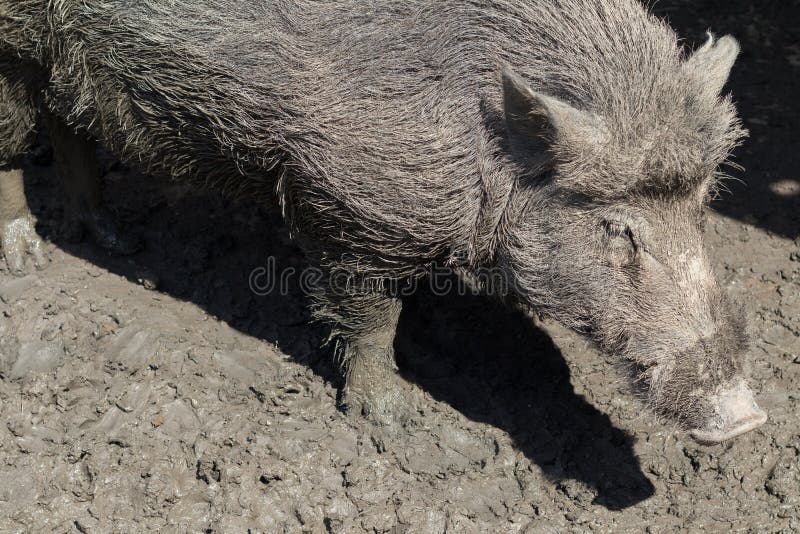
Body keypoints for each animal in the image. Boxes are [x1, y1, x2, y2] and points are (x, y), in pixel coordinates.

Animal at [0, 0, 766, 444]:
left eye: (701, 207)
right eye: (618, 230)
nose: (749, 417)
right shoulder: (348, 203)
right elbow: (371, 316)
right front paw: (392, 423)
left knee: (68, 124)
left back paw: (113, 237)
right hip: (13, 47)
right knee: (16, 143)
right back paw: (28, 258)